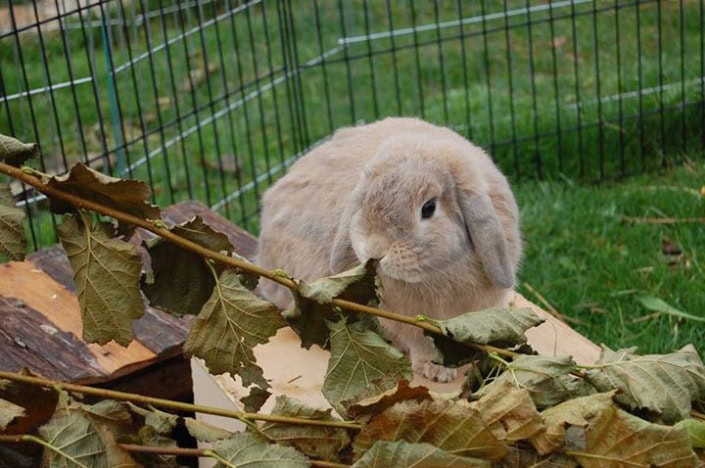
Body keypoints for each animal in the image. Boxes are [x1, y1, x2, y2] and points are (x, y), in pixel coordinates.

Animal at [256, 117, 522, 382]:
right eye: (366, 199)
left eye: (429, 208)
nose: (375, 250)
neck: (438, 274)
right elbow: (422, 343)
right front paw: (437, 372)